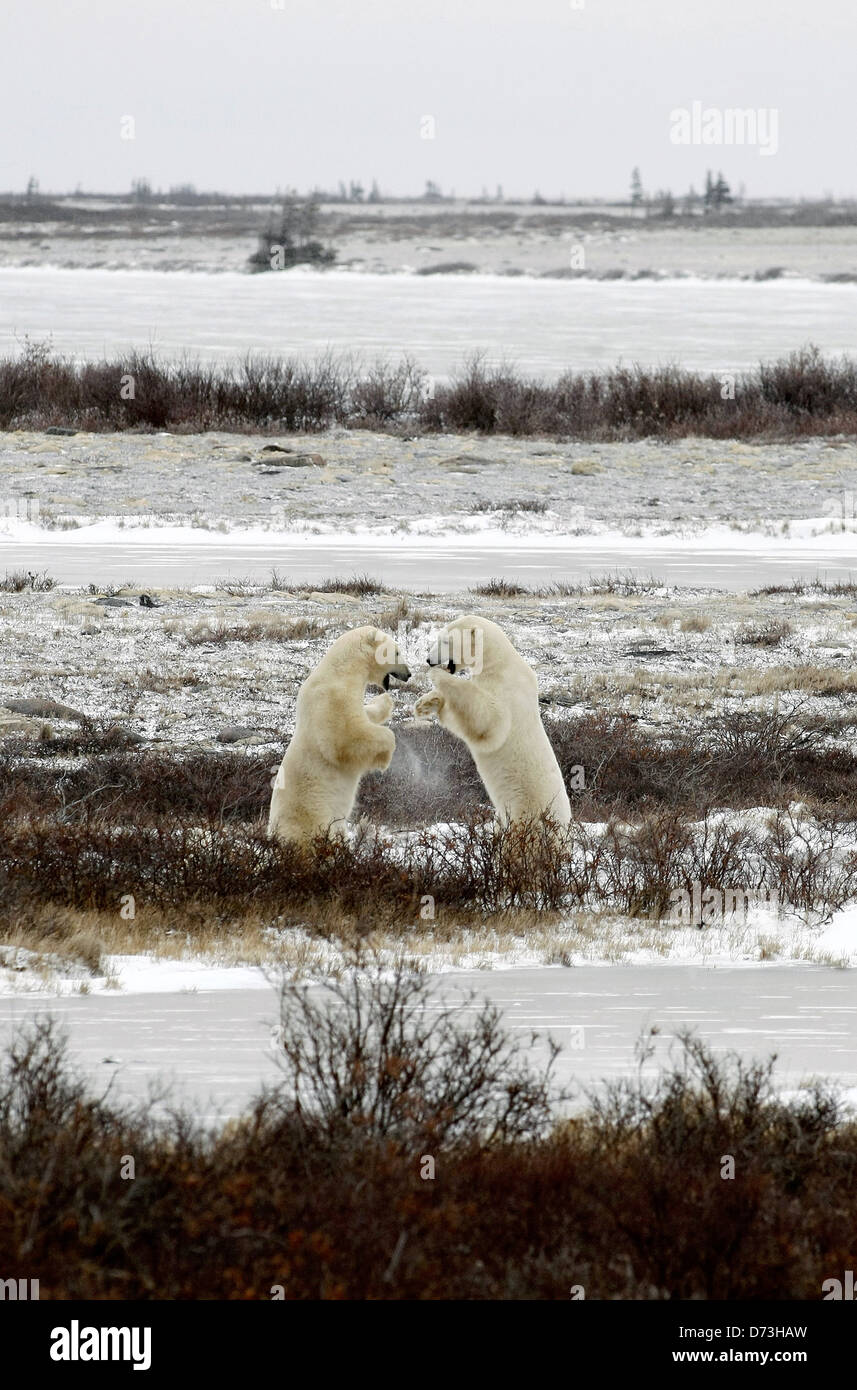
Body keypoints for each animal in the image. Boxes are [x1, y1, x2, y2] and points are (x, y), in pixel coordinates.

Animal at [268, 626, 411, 845]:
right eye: (396, 652)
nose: (409, 674)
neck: (341, 671)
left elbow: (364, 716)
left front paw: (385, 703)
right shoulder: (331, 698)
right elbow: (345, 737)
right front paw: (386, 756)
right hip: (314, 816)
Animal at [413, 615, 571, 827]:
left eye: (446, 641)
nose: (429, 660)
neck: (498, 661)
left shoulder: (506, 689)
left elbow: (490, 720)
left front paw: (437, 675)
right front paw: (424, 704)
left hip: (528, 810)